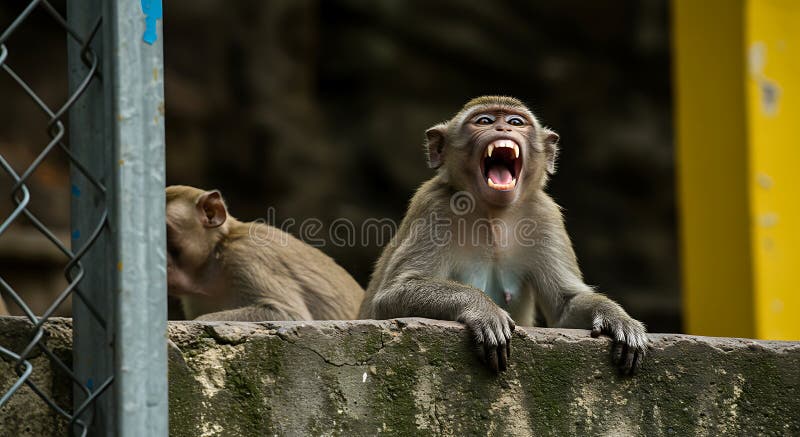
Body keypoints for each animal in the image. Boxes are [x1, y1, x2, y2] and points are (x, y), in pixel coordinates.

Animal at [360, 96, 648, 374]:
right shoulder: (434, 206)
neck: (493, 215)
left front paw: (616, 317)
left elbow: (565, 305)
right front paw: (483, 308)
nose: (503, 128)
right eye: (484, 121)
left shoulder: (545, 215)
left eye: (516, 122)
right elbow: (391, 296)